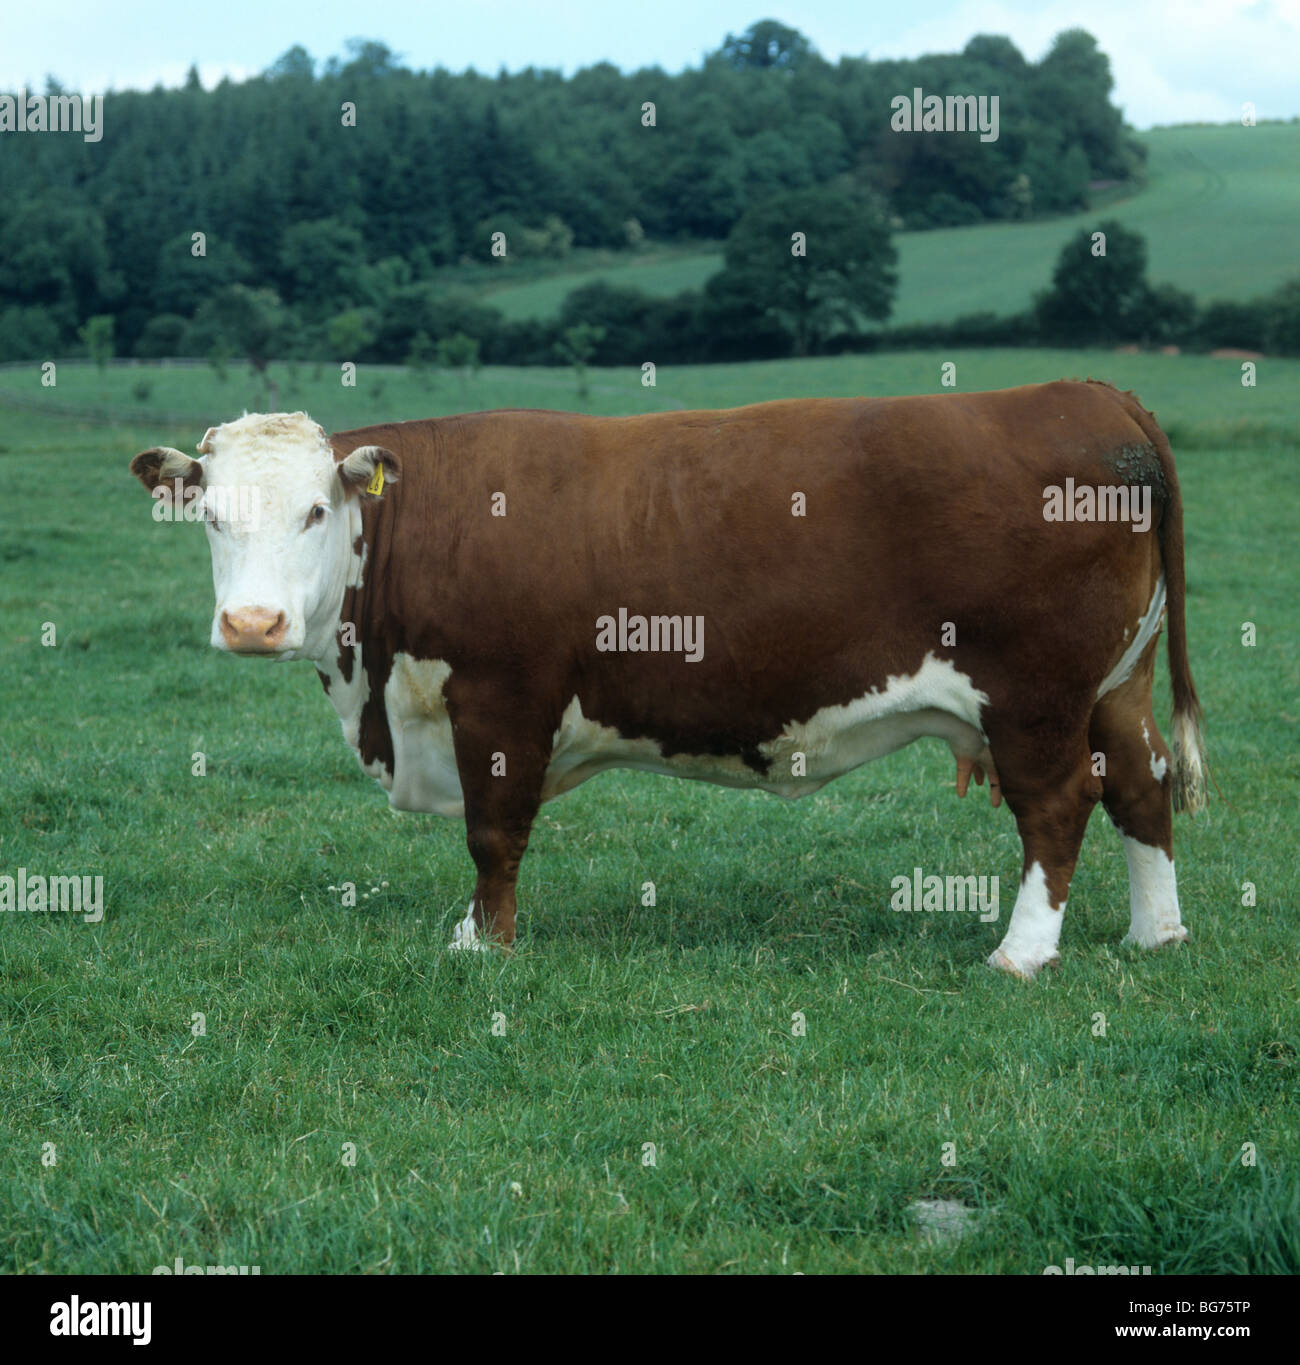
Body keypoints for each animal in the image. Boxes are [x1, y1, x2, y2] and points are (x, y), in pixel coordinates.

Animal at [129, 382, 1206, 978]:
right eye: (211, 516)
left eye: (315, 511)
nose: (253, 625)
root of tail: (1087, 392)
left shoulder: (500, 698)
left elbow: (493, 833)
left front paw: (484, 943)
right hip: (1115, 685)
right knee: (1142, 784)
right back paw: (1155, 935)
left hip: (1034, 697)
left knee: (1058, 806)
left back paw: (1021, 953)